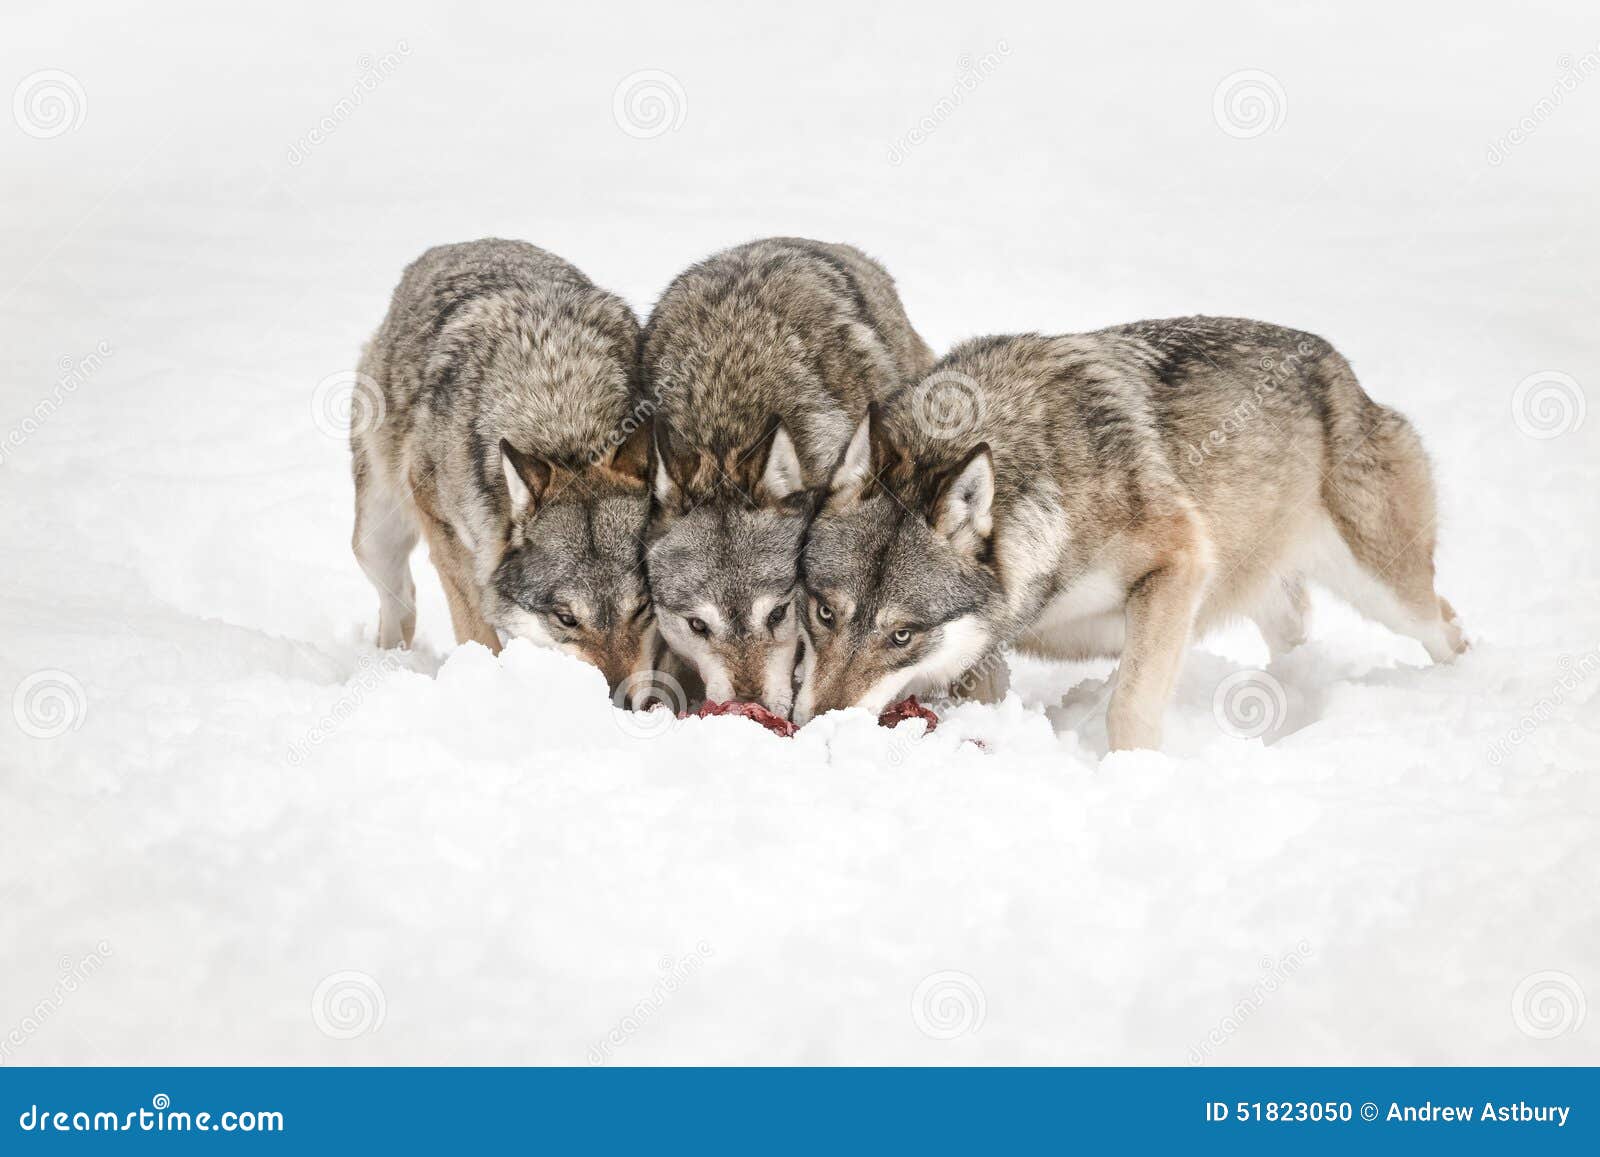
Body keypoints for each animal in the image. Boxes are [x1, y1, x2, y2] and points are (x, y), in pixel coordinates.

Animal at [350, 238, 661, 702]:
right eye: (567, 619)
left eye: (641, 609)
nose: (621, 705)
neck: (560, 412)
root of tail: (457, 245)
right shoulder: (446, 531)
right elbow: (478, 633)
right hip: (376, 540)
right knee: (400, 600)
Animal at [794, 317, 1467, 749]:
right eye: (824, 614)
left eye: (902, 634)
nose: (816, 725)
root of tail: (1336, 361)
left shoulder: (1178, 564)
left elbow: (1131, 708)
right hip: (1264, 590)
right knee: (1298, 633)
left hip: (1386, 590)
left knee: (1447, 624)